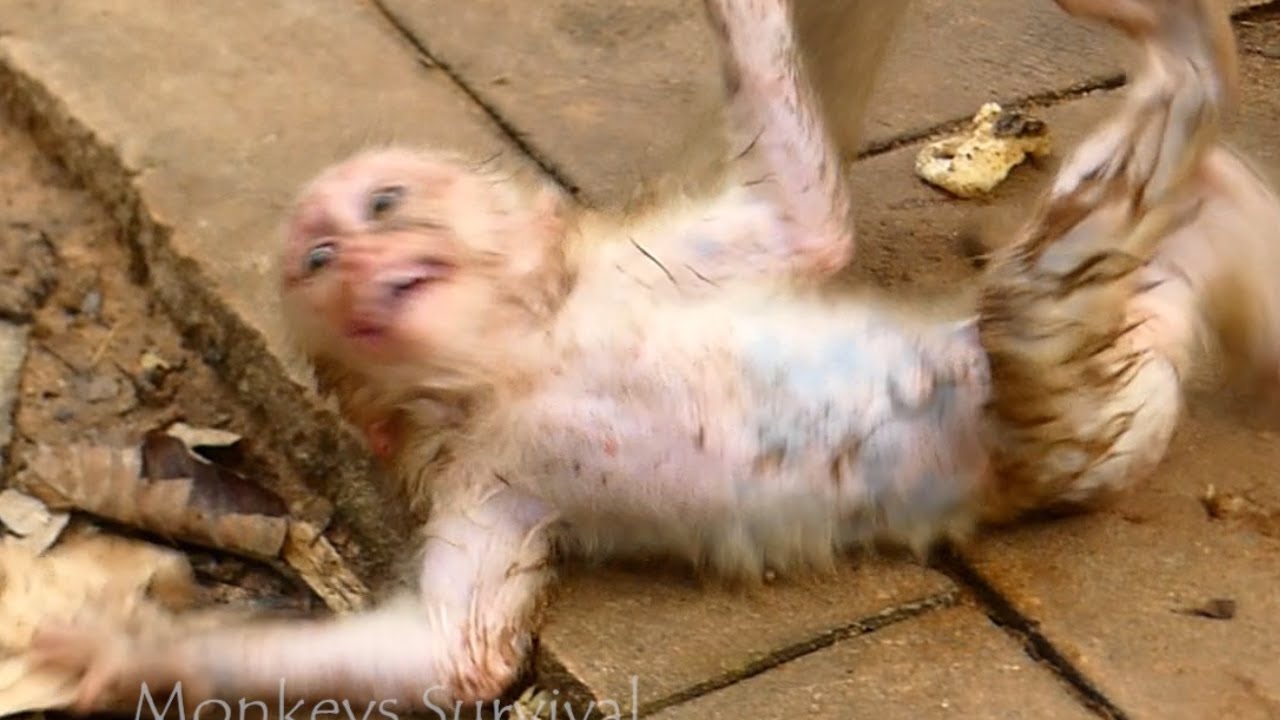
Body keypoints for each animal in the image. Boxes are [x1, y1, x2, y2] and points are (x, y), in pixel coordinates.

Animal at [28, 0, 1280, 714]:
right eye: (321, 254)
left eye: (382, 205)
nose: (361, 264)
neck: (517, 359)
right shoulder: (482, 476)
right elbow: (452, 657)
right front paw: (132, 656)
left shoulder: (649, 269)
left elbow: (806, 224)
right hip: (1083, 400)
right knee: (1098, 274)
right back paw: (1213, 155)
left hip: (1063, 405)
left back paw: (1187, 53)